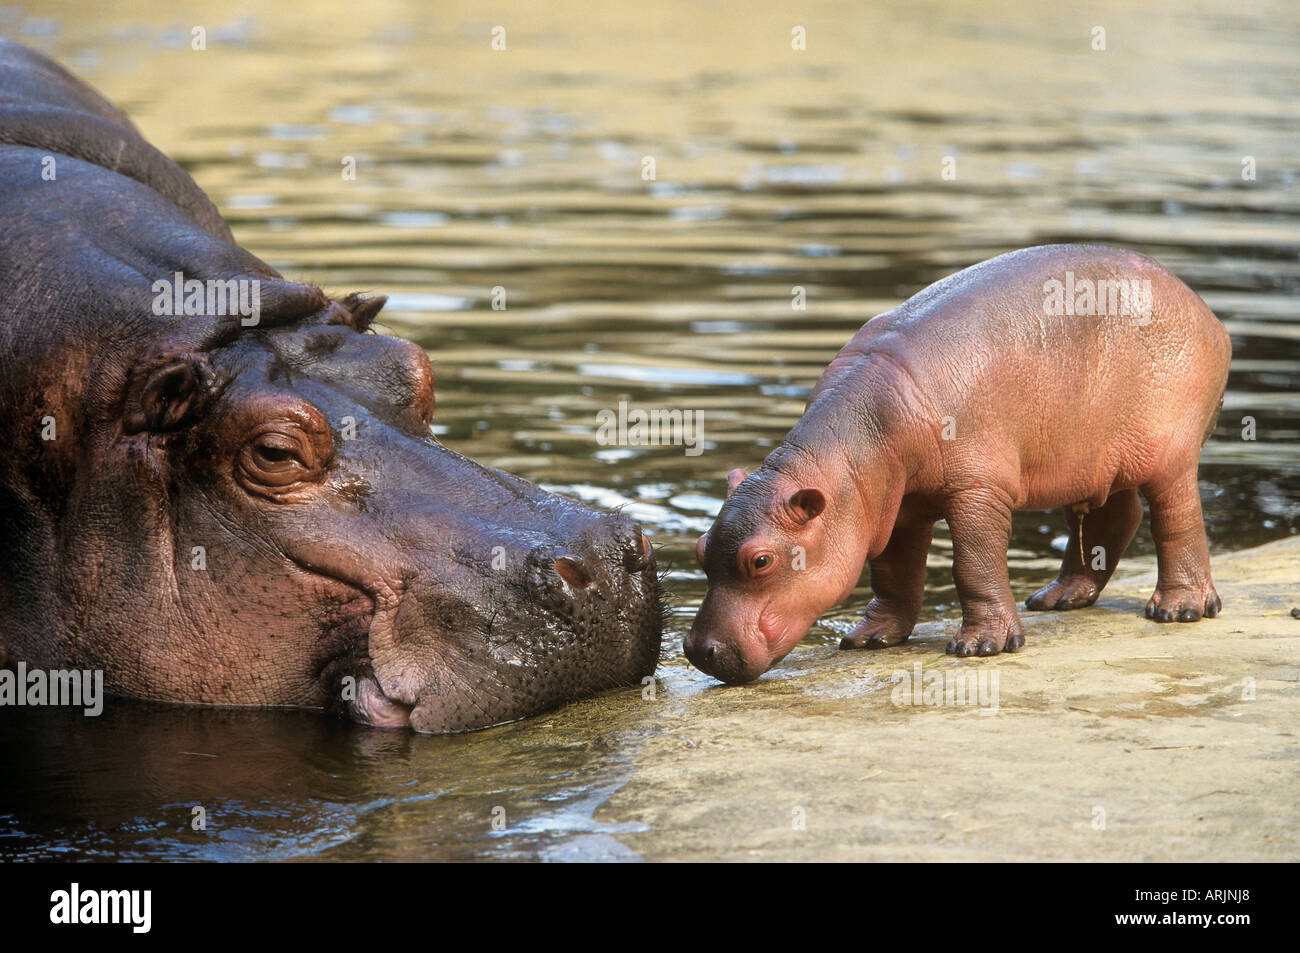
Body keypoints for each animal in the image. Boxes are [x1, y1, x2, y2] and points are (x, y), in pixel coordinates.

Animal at [687, 244, 1230, 684]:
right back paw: (1056, 599)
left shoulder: (976, 488)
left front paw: (981, 647)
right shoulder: (893, 503)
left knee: (1176, 517)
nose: (697, 650)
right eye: (700, 547)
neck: (853, 452)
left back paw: (1178, 610)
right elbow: (894, 571)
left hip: (1169, 452)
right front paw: (870, 638)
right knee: (1115, 517)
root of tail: (1208, 313)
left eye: (760, 561)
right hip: (1092, 459)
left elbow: (974, 563)